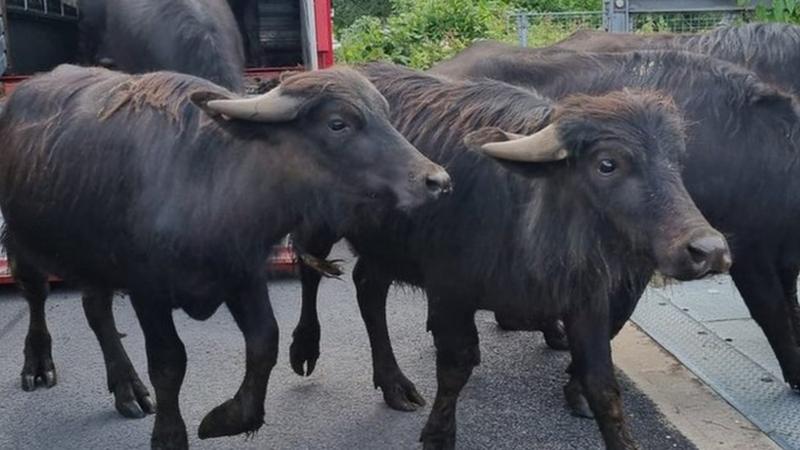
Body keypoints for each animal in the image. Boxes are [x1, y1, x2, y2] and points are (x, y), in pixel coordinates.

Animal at [0, 64, 450, 449]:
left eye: (386, 115)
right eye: (337, 123)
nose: (438, 180)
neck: (210, 185)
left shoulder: (243, 273)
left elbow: (265, 342)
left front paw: (227, 418)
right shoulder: (148, 290)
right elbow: (169, 363)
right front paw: (170, 436)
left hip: (95, 258)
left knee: (95, 309)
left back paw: (127, 387)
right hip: (23, 240)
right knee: (36, 292)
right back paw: (38, 364)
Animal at [291, 63, 730, 449]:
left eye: (676, 161)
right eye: (608, 164)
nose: (709, 250)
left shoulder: (586, 298)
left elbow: (602, 383)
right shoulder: (449, 293)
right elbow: (455, 368)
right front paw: (438, 435)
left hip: (386, 246)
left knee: (367, 287)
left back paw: (393, 383)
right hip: (318, 222)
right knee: (309, 270)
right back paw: (305, 348)